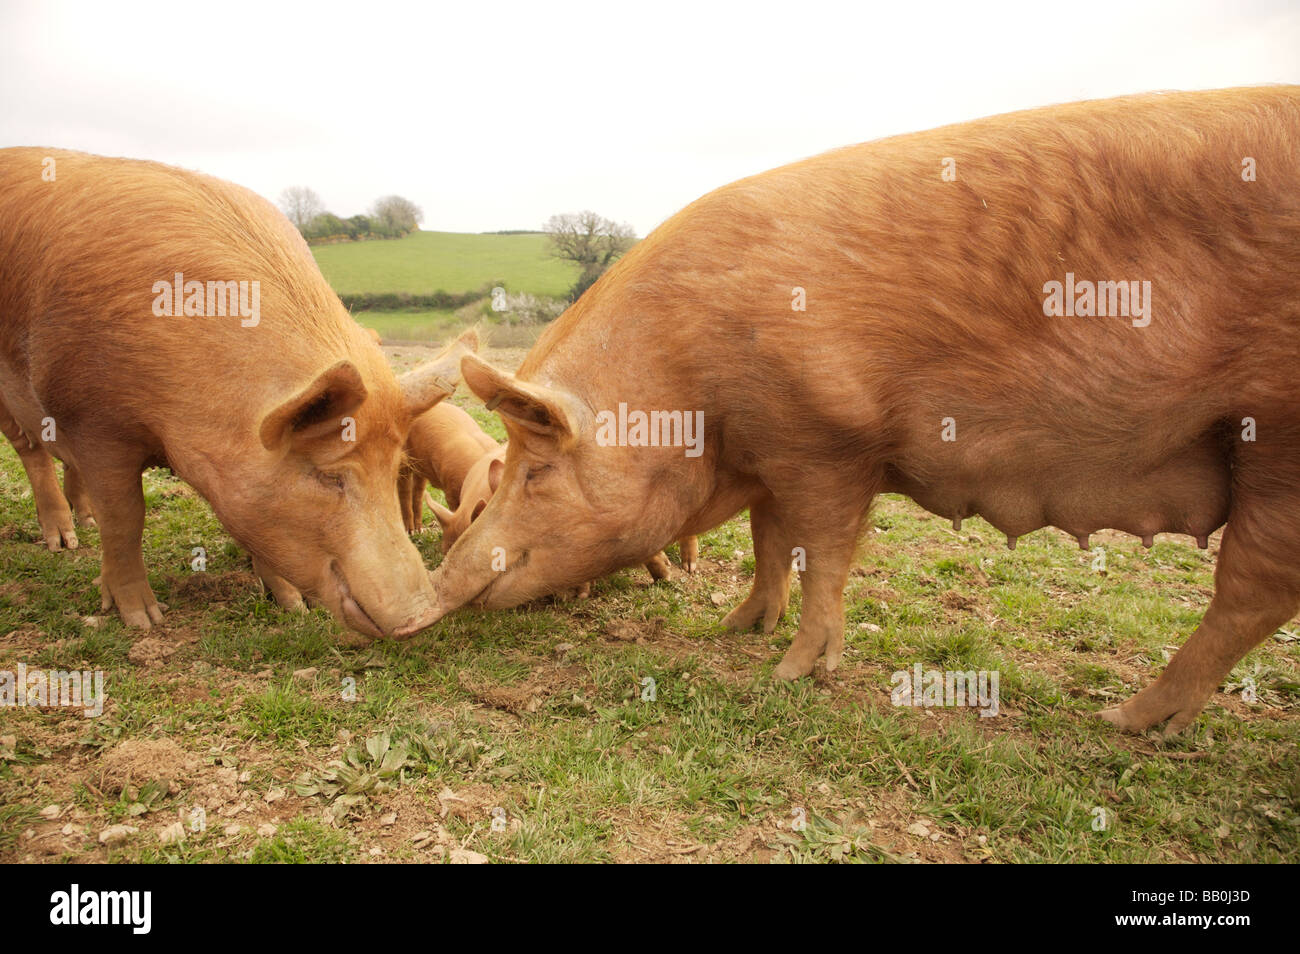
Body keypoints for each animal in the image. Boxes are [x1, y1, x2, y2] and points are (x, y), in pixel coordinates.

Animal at [0, 147, 474, 637]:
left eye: (392, 467)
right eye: (329, 476)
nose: (423, 616)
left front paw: (295, 607)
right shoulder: (92, 423)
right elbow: (125, 518)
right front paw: (143, 620)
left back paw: (83, 523)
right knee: (32, 451)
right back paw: (63, 543)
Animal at [398, 400, 499, 533]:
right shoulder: (451, 493)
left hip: (421, 466)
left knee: (418, 491)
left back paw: (419, 530)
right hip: (402, 458)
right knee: (404, 491)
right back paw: (410, 532)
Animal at [427, 87, 1300, 736]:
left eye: (534, 472)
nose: (443, 585)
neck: (686, 387)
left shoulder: (826, 439)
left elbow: (823, 556)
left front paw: (789, 673)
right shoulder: (772, 454)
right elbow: (770, 543)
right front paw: (737, 628)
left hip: (1275, 434)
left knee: (1249, 591)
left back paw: (1128, 720)